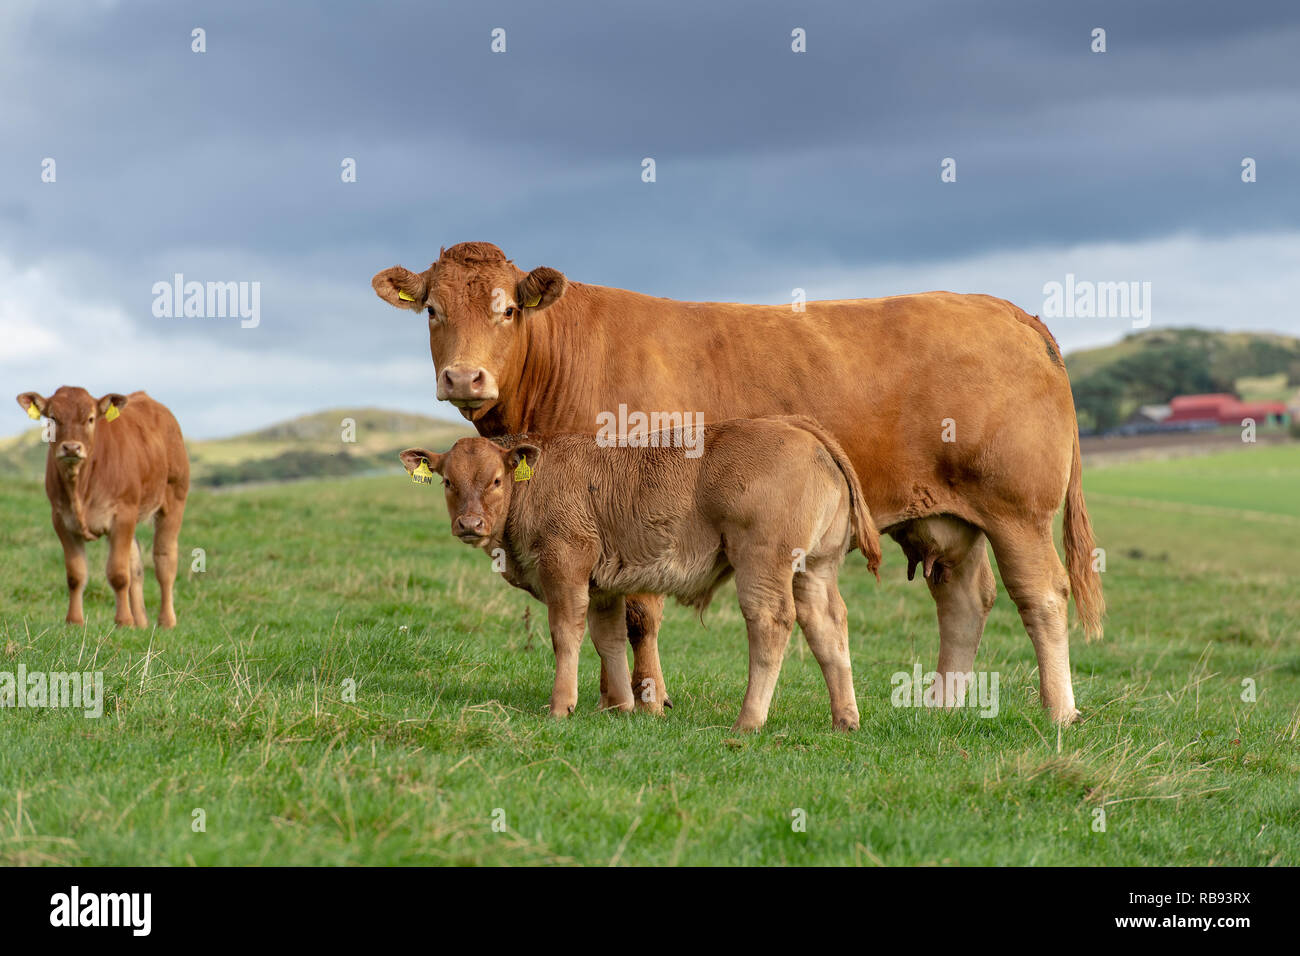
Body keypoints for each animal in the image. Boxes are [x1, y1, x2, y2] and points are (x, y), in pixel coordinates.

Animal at [15, 388, 190, 628]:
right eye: (52, 418)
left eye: (90, 418)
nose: (71, 447)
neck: (79, 487)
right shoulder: (61, 520)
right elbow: (76, 575)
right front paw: (74, 621)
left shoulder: (122, 515)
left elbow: (118, 574)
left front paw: (123, 621)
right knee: (136, 565)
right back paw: (141, 622)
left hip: (173, 499)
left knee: (165, 561)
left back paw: (166, 621)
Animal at [399, 416, 882, 731]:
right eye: (448, 482)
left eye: (497, 480)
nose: (470, 523)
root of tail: (796, 426)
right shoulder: (603, 587)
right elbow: (608, 638)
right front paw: (620, 707)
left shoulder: (565, 567)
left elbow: (566, 634)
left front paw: (561, 705)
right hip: (814, 568)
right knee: (827, 626)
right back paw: (845, 718)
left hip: (763, 563)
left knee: (770, 623)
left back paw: (748, 721)